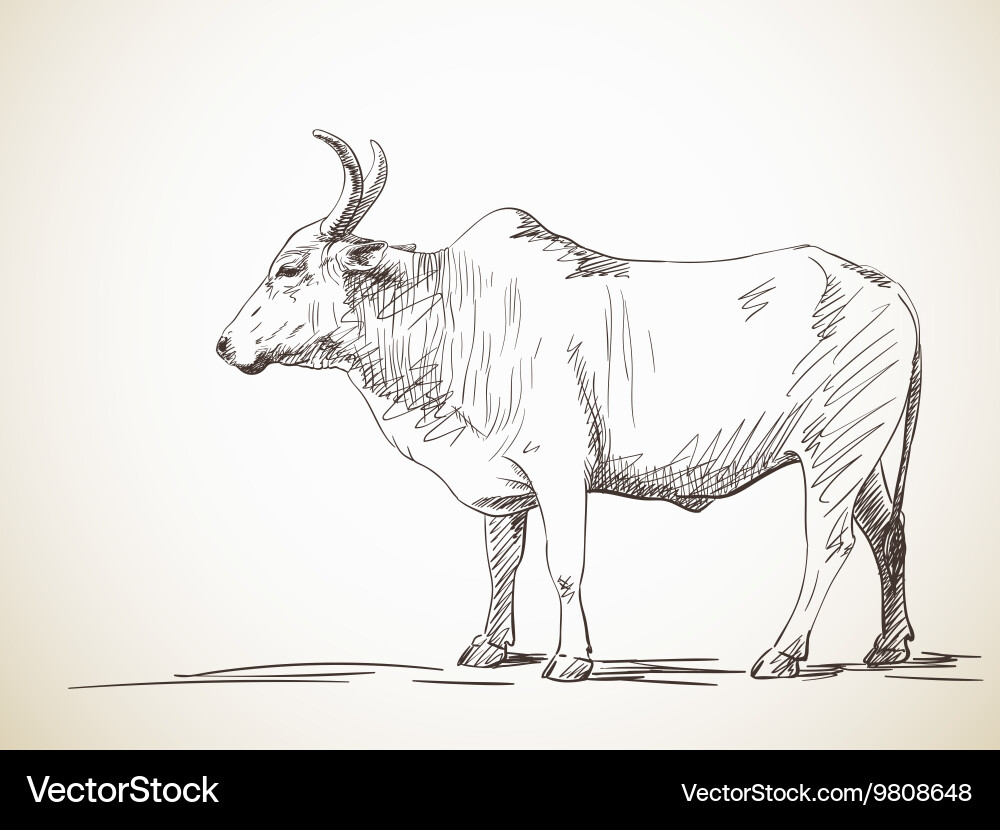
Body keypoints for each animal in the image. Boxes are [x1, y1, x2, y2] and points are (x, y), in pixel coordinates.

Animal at [217, 130, 921, 682]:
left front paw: (572, 659)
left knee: (828, 544)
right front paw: (490, 646)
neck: (452, 312)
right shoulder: (504, 485)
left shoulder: (558, 471)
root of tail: (884, 285)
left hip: (834, 453)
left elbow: (563, 566)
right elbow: (501, 563)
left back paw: (782, 653)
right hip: (864, 455)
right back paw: (889, 646)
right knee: (887, 531)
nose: (225, 345)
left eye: (289, 269)